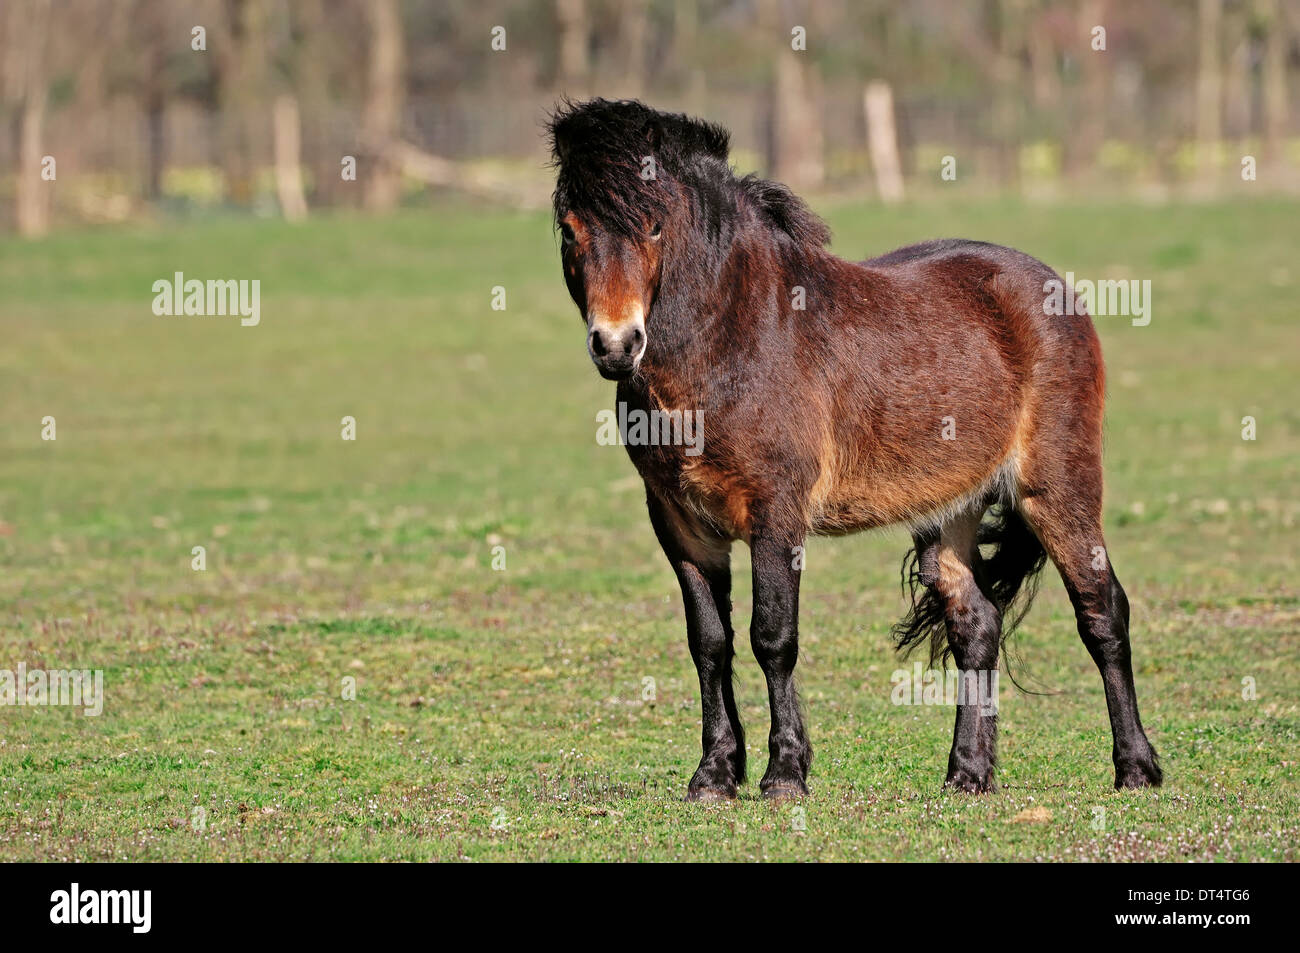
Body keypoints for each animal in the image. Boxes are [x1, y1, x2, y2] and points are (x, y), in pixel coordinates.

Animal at [547, 98, 1161, 800]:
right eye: (568, 229)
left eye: (652, 226)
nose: (616, 344)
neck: (735, 338)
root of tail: (1048, 285)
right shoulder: (680, 524)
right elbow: (709, 644)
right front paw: (714, 774)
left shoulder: (776, 514)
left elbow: (772, 637)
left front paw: (785, 772)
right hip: (949, 508)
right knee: (975, 622)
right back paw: (967, 774)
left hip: (1057, 489)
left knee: (1102, 611)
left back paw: (1136, 767)